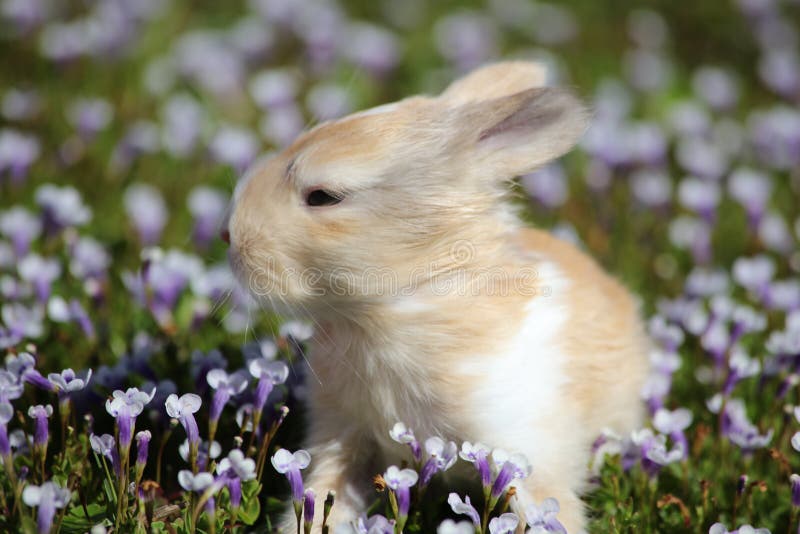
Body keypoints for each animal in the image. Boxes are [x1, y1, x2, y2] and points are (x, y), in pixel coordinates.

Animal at [225, 61, 650, 533]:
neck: (391, 310)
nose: (231, 237)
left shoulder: (523, 445)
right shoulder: (342, 434)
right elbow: (321, 497)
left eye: (323, 197)